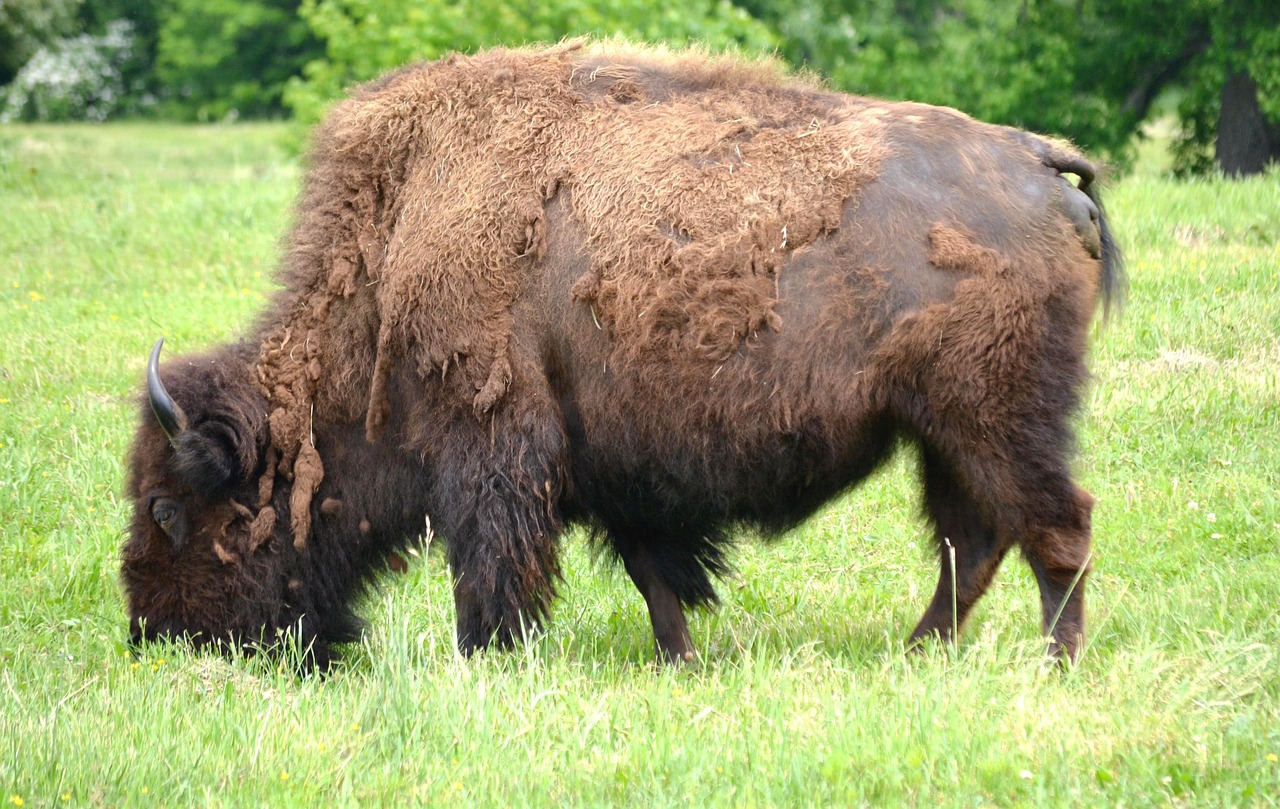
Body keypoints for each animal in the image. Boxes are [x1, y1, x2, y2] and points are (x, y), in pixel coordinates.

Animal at [123, 42, 1122, 668]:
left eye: (171, 510)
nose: (154, 635)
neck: (396, 243)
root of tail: (1037, 162)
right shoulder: (617, 464)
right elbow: (653, 572)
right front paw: (679, 660)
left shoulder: (494, 446)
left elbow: (494, 565)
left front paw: (483, 660)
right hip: (942, 430)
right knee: (974, 538)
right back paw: (918, 655)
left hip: (994, 414)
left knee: (1054, 524)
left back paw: (1053, 667)